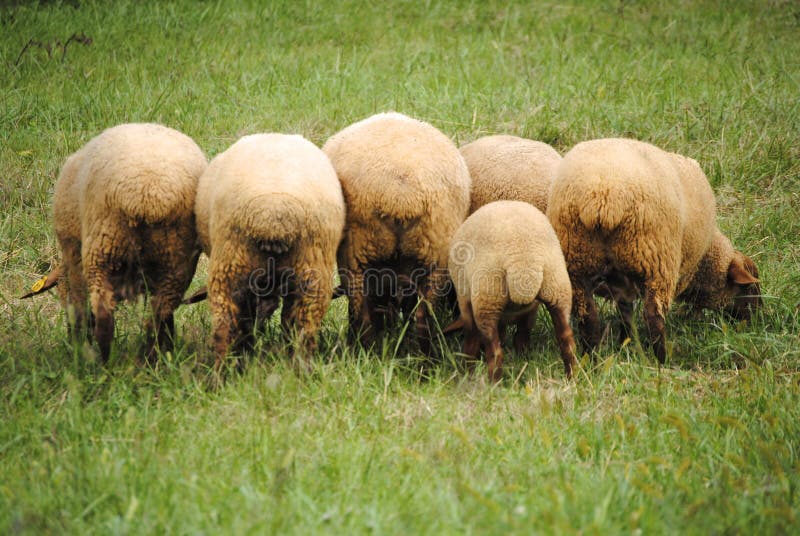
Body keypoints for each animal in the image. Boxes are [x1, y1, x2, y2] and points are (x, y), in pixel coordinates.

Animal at [24, 123, 207, 362]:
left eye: (62, 296)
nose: (70, 340)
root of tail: (147, 194)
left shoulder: (74, 258)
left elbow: (81, 309)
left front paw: (80, 347)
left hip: (102, 249)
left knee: (104, 317)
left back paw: (103, 362)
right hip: (175, 259)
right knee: (158, 316)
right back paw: (154, 359)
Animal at [194, 133, 345, 369]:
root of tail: (273, 216)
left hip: (230, 263)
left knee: (225, 327)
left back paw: (223, 371)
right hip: (312, 272)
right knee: (303, 326)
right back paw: (298, 368)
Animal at [322, 112, 471, 353]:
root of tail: (401, 196)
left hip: (357, 257)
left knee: (361, 313)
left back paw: (362, 351)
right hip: (436, 256)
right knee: (423, 317)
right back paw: (423, 357)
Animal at [445, 201, 577, 381]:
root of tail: (524, 260)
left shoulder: (465, 305)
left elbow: (470, 343)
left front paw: (467, 373)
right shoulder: (530, 312)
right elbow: (521, 339)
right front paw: (523, 361)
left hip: (487, 299)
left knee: (495, 354)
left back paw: (493, 384)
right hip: (557, 289)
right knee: (567, 342)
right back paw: (573, 378)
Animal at [547, 138, 762, 362]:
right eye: (748, 288)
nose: (758, 320)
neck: (705, 260)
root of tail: (602, 198)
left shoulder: (623, 285)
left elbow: (625, 312)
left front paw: (625, 342)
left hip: (576, 262)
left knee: (588, 317)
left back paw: (591, 357)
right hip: (657, 261)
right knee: (653, 317)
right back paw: (661, 360)